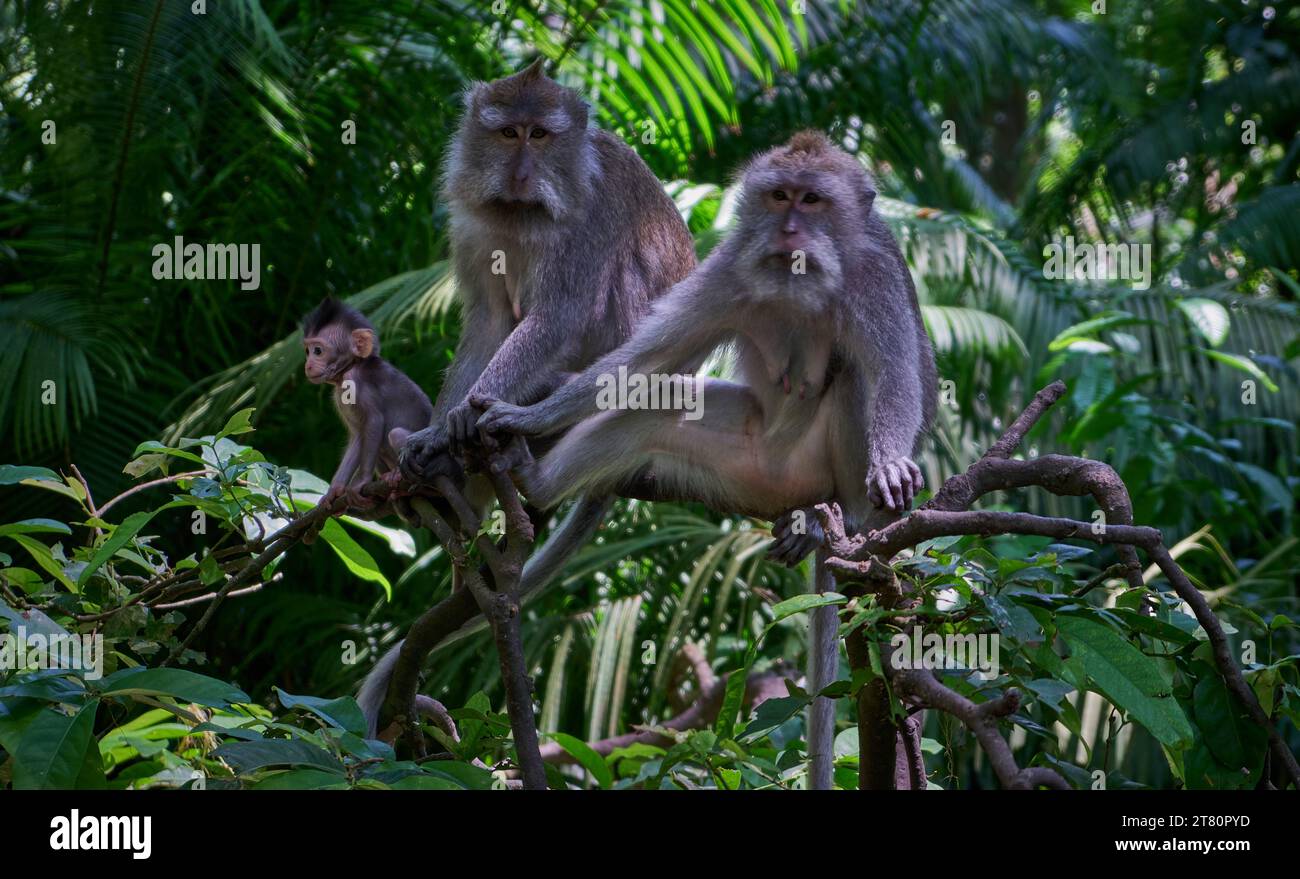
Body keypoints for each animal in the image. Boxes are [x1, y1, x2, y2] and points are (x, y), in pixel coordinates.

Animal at [301, 297, 433, 514]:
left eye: (318, 351)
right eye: (307, 351)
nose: (308, 365)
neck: (353, 366)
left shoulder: (356, 383)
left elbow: (374, 421)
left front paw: (360, 482)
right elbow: (358, 435)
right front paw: (335, 491)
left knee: (394, 433)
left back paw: (399, 476)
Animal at [357, 58, 697, 740]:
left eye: (540, 136)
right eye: (508, 133)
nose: (519, 173)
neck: (523, 211)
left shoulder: (584, 219)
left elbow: (554, 316)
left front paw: (446, 431)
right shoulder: (474, 224)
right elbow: (489, 319)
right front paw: (432, 439)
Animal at [474, 130, 937, 788]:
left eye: (813, 201)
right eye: (779, 196)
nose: (789, 231)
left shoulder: (875, 278)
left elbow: (900, 375)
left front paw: (892, 463)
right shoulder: (729, 265)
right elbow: (644, 364)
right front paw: (527, 416)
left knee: (855, 377)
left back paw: (835, 519)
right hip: (747, 466)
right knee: (655, 403)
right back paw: (534, 481)